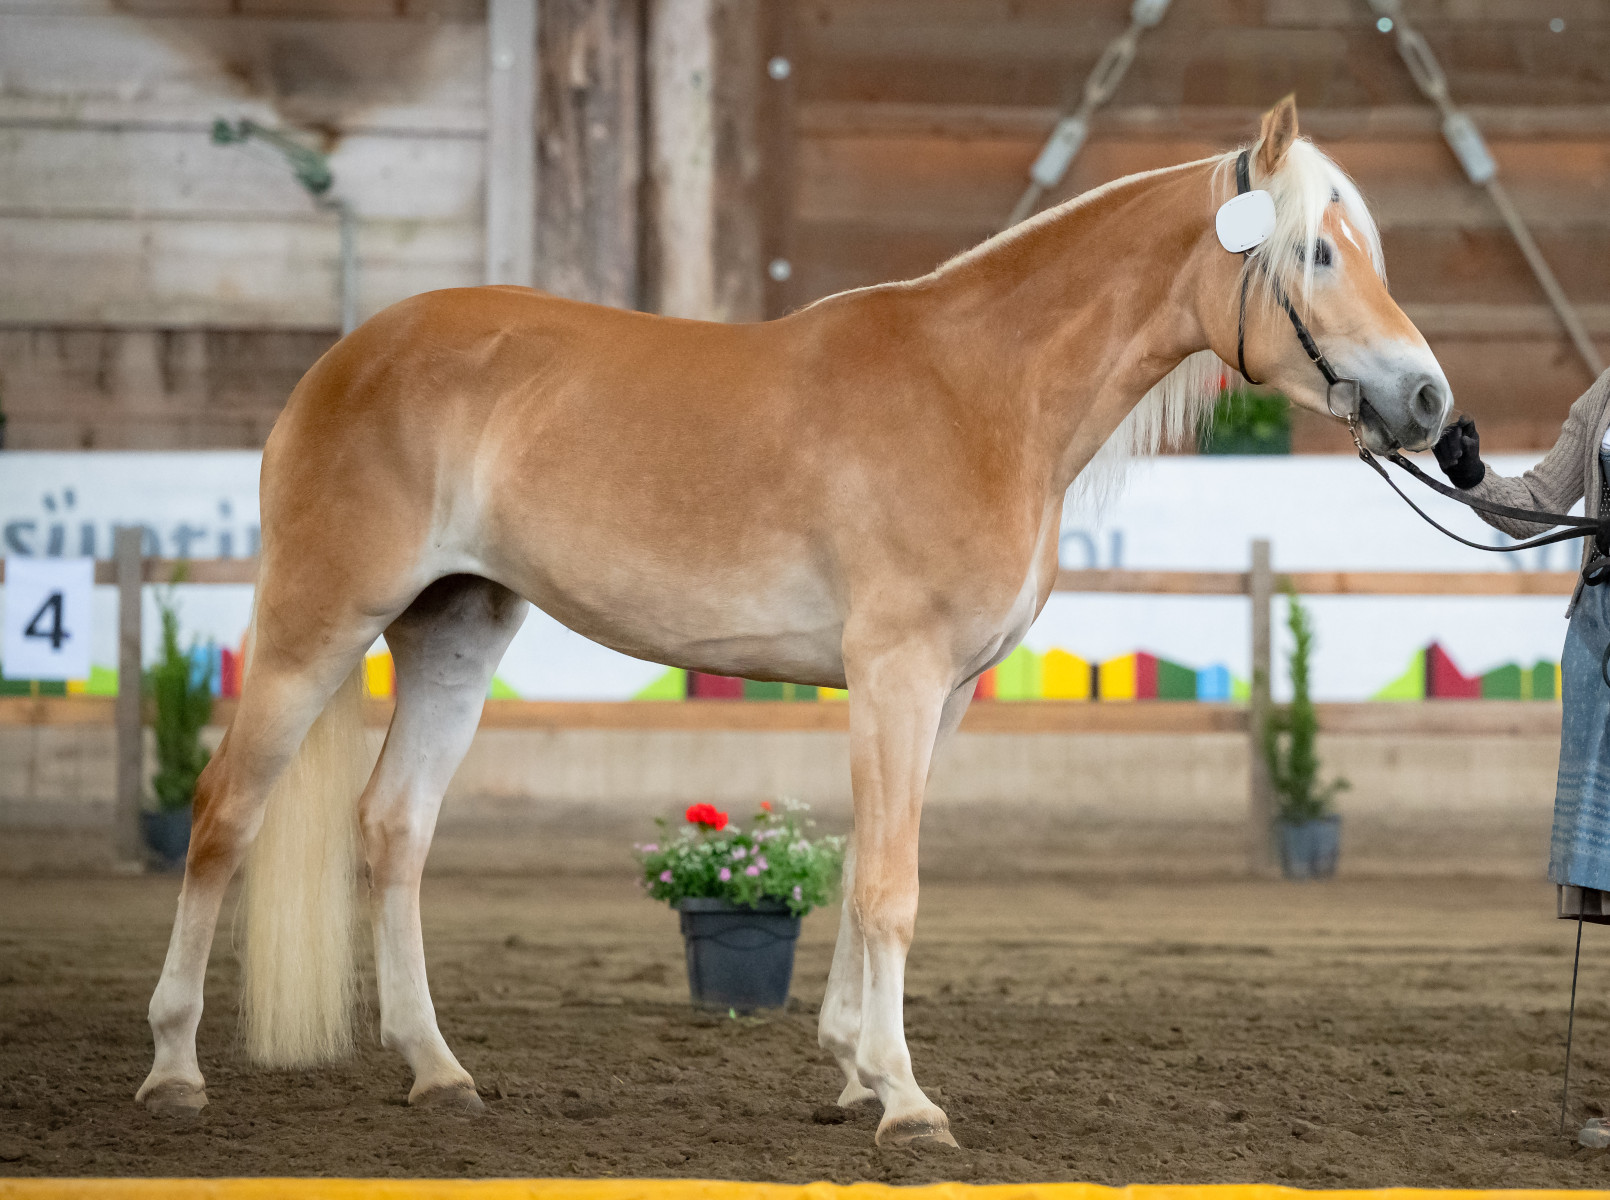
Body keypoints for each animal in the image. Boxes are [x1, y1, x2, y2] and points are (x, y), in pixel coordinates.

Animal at [136, 96, 1450, 1147]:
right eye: (1317, 250)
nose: (1430, 402)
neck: (979, 392)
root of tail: (341, 358)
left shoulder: (940, 695)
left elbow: (871, 865)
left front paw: (854, 1070)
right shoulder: (896, 675)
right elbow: (890, 888)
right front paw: (906, 1102)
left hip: (456, 628)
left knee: (394, 828)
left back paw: (438, 1072)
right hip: (315, 620)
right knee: (221, 816)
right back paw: (174, 1070)